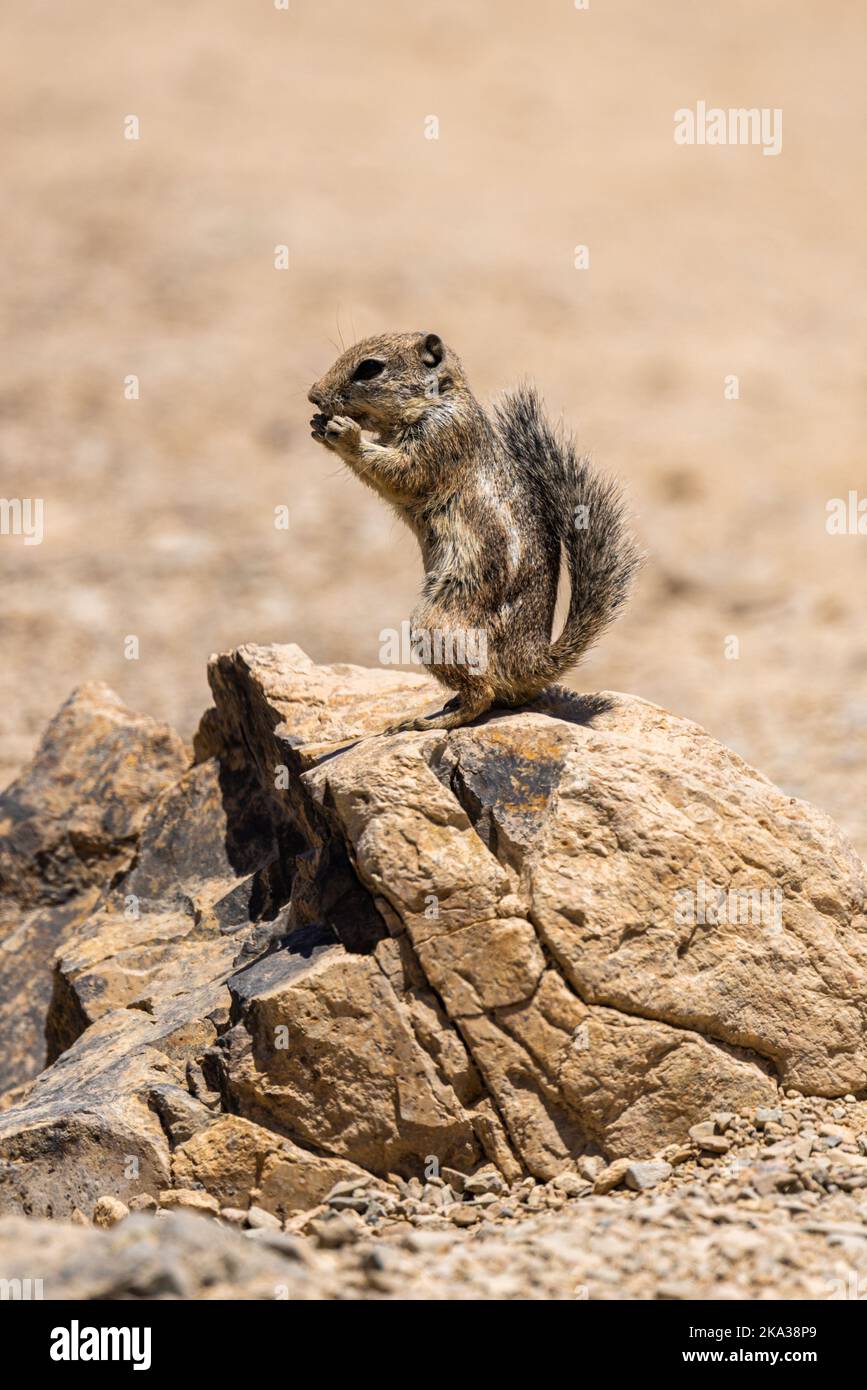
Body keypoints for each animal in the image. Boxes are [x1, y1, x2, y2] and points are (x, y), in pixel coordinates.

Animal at [309, 331, 641, 733]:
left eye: (370, 368)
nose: (313, 394)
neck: (441, 400)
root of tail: (532, 659)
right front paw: (319, 425)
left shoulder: (440, 441)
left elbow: (403, 473)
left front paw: (346, 435)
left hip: (438, 621)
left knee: (482, 693)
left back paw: (429, 721)